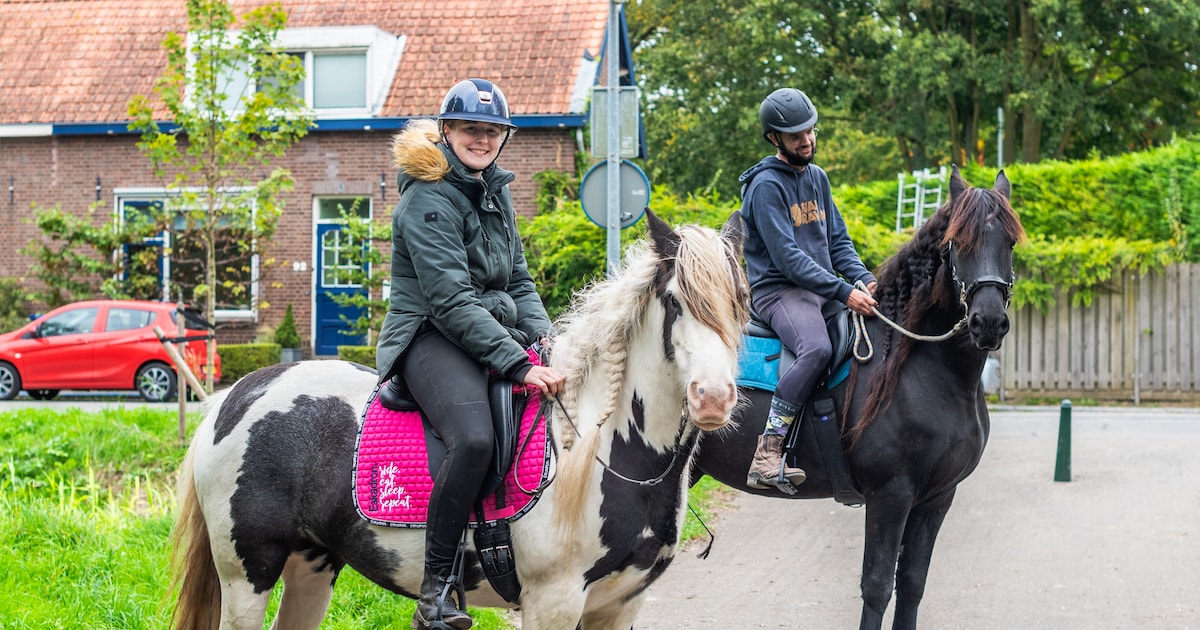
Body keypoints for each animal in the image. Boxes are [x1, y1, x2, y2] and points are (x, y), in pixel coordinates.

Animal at [168, 209, 751, 630]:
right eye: (674, 302)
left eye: (740, 302)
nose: (713, 398)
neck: (595, 451)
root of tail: (234, 395)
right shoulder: (554, 603)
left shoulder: (620, 605)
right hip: (247, 576)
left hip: (311, 566)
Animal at [694, 166, 1025, 630]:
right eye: (957, 243)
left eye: (1009, 242)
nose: (989, 322)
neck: (919, 367)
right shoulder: (891, 497)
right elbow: (878, 586)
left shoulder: (937, 499)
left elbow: (912, 585)